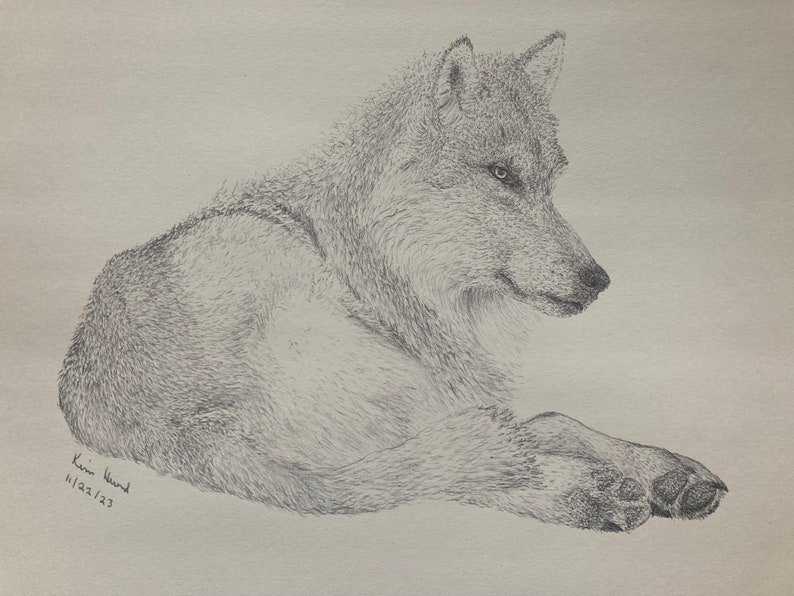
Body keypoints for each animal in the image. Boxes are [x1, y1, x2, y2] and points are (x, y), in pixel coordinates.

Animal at [59, 32, 726, 531]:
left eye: (549, 181)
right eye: (501, 175)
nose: (599, 280)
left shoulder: (459, 389)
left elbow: (545, 421)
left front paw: (666, 472)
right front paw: (602, 484)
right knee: (410, 476)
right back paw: (588, 493)